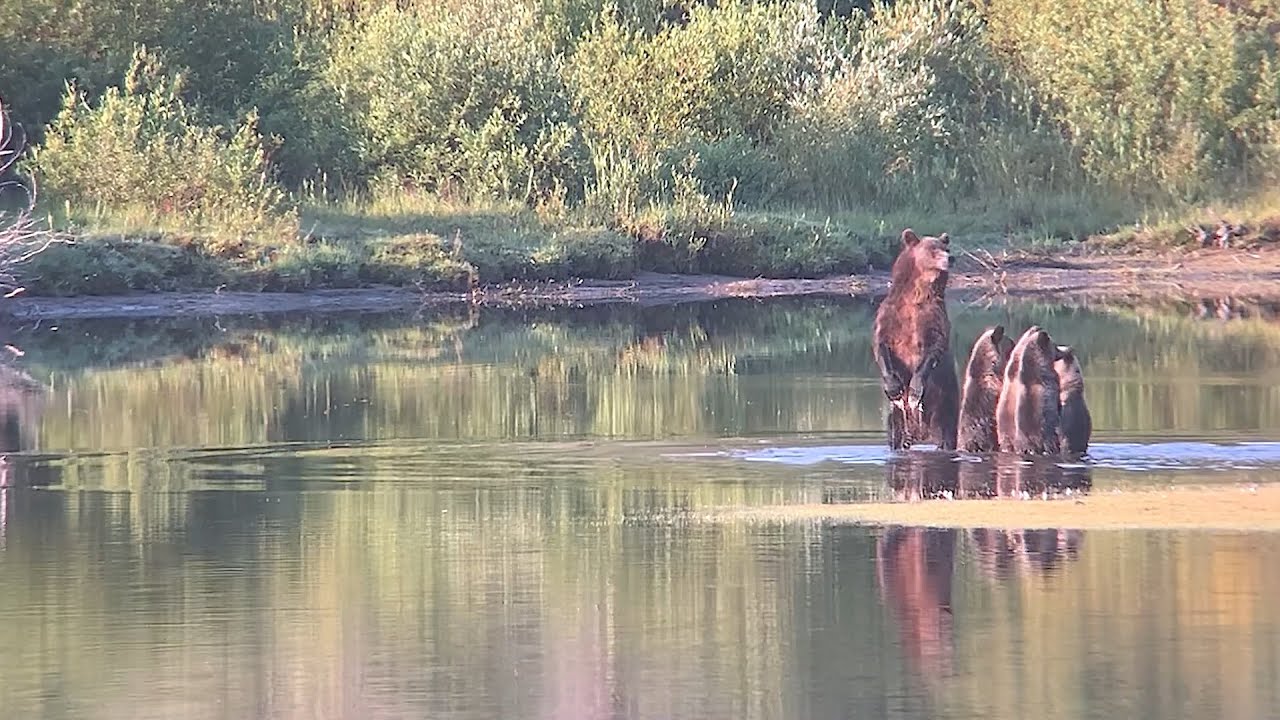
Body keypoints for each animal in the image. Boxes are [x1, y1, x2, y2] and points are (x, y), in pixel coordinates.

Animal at [872, 228, 959, 451]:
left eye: (946, 248)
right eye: (933, 249)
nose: (950, 258)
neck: (917, 293)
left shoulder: (933, 317)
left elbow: (935, 347)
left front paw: (915, 389)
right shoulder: (891, 314)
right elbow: (881, 343)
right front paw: (893, 386)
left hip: (945, 404)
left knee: (947, 434)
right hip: (896, 415)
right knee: (894, 433)